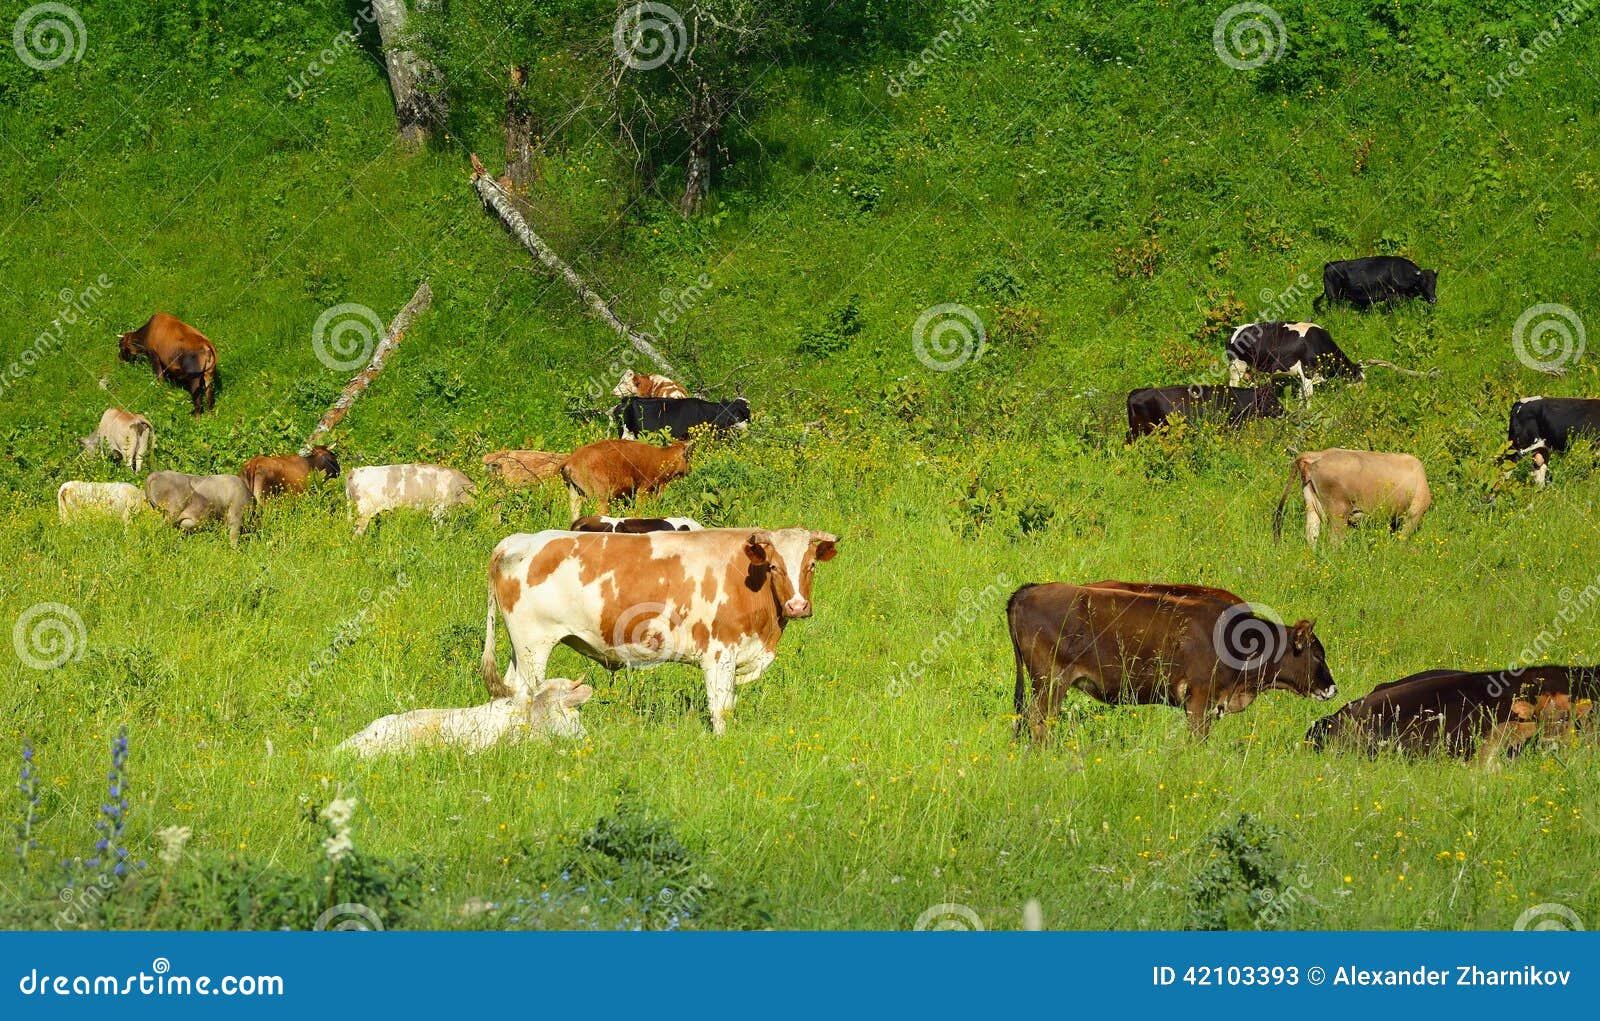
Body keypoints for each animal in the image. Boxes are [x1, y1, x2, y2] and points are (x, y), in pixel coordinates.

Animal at [480, 527, 839, 734]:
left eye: (811, 565)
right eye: (774, 566)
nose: (797, 606)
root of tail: (520, 539)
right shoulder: (719, 653)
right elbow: (720, 708)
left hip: (521, 648)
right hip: (534, 644)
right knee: (525, 694)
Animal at [561, 439, 692, 519]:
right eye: (687, 457)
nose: (689, 471)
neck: (662, 458)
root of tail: (571, 460)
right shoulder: (642, 491)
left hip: (575, 494)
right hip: (601, 497)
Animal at [1008, 582, 1336, 740]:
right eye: (1317, 654)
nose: (1332, 688)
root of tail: (1028, 590)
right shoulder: (1199, 702)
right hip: (1050, 684)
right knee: (1039, 722)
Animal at [1226, 321, 1362, 399]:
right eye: (1358, 379)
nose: (1360, 397)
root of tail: (1234, 330)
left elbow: (1302, 393)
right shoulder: (1308, 370)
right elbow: (1308, 394)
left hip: (1252, 370)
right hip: (1237, 366)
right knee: (1233, 385)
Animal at [1272, 449, 1431, 546]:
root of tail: (1318, 455)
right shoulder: (1414, 514)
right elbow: (1401, 540)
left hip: (1311, 505)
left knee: (1311, 535)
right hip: (1338, 511)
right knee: (1334, 541)